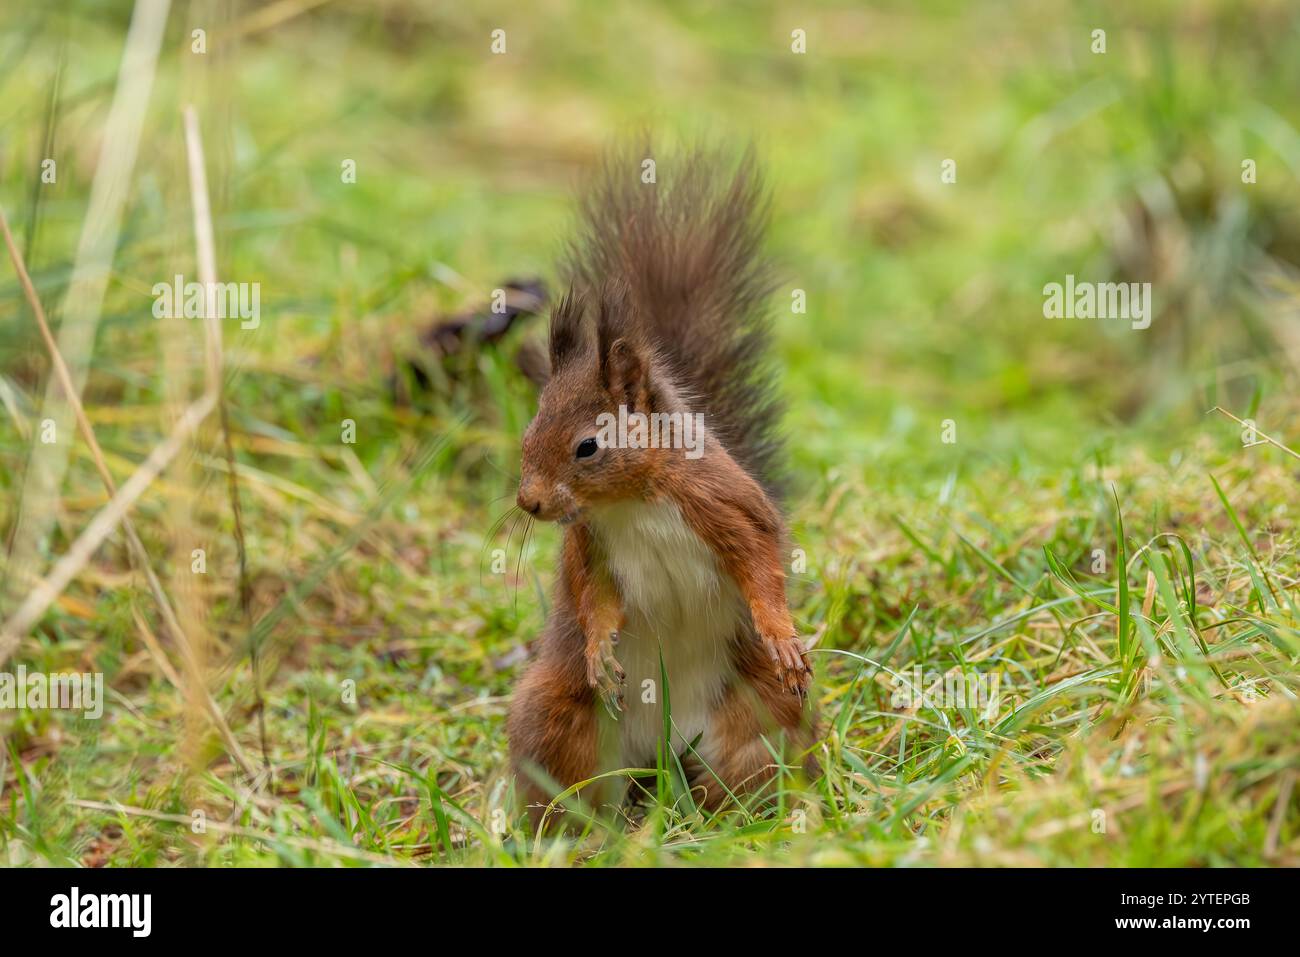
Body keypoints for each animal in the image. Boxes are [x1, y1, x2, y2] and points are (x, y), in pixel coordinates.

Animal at [507, 146, 815, 824]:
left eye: (587, 447)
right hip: (556, 716)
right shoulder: (590, 545)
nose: (530, 503)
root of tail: (662, 750)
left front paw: (780, 635)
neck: (632, 502)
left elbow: (760, 565)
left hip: (761, 721)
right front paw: (599, 651)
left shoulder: (724, 507)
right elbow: (595, 599)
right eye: (527, 434)